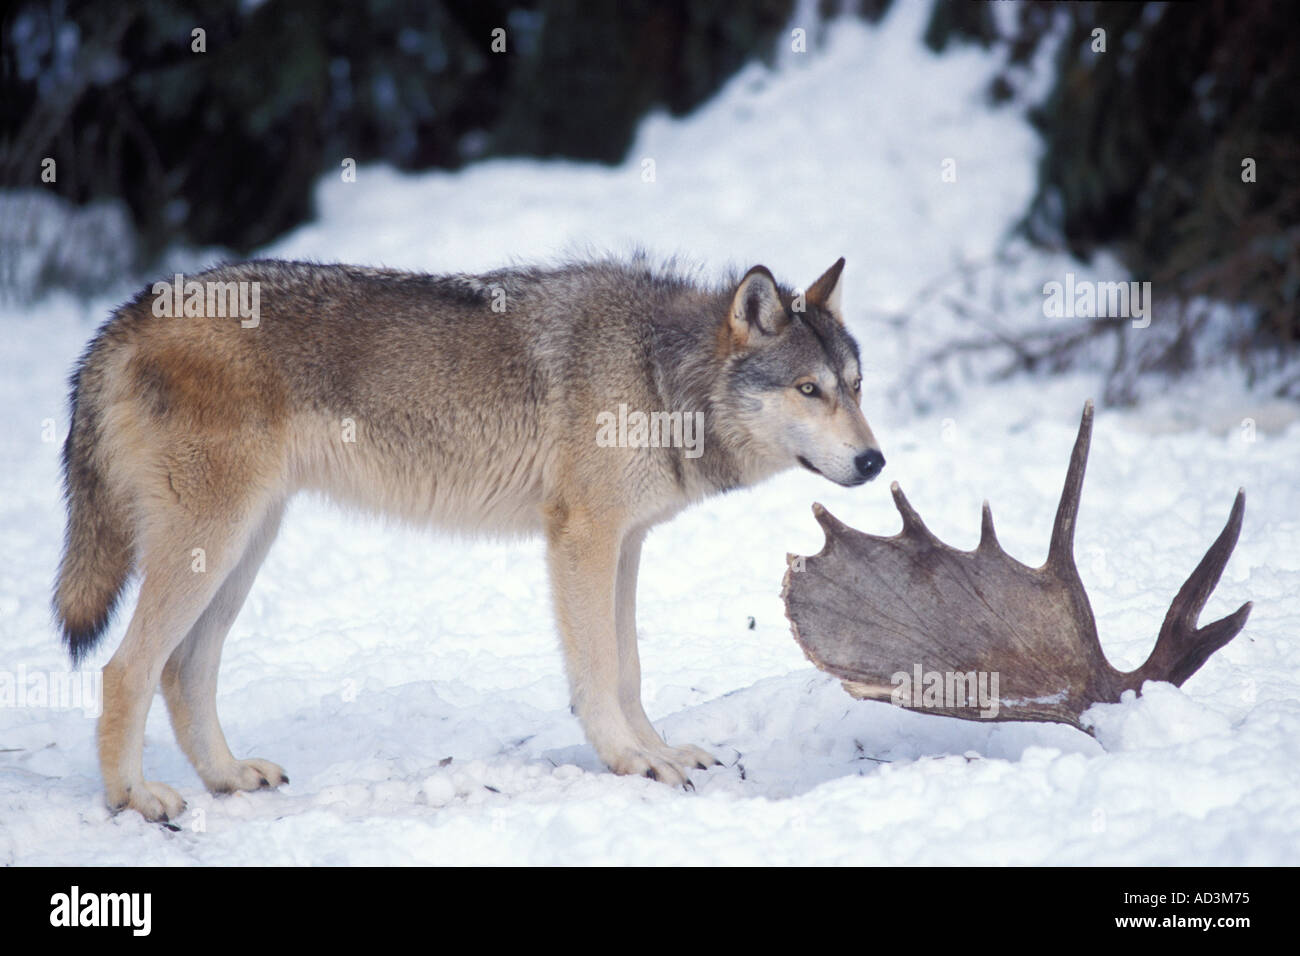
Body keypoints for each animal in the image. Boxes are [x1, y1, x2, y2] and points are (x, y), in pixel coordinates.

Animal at [54, 254, 884, 821]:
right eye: (808, 390)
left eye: (855, 386)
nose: (874, 461)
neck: (657, 376)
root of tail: (130, 310)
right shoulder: (582, 538)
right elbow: (598, 672)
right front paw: (628, 761)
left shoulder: (627, 543)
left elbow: (629, 670)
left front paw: (657, 752)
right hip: (213, 541)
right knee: (125, 669)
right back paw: (136, 799)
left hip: (243, 546)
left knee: (183, 668)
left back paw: (227, 778)